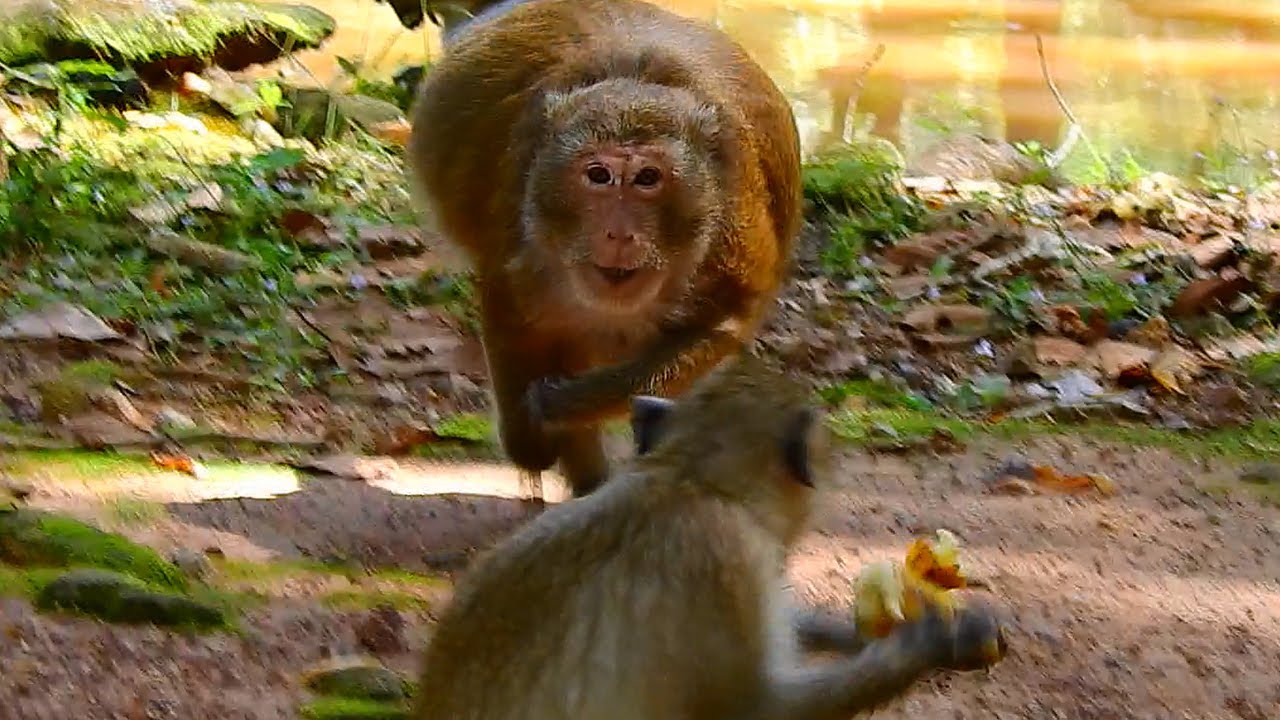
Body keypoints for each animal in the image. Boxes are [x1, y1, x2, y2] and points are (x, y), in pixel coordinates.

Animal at [407, 0, 804, 499]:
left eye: (648, 178)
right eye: (598, 175)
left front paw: (561, 405)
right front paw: (530, 439)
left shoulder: (735, 219)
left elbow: (720, 324)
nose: (618, 233)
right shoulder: (518, 209)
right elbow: (510, 305)